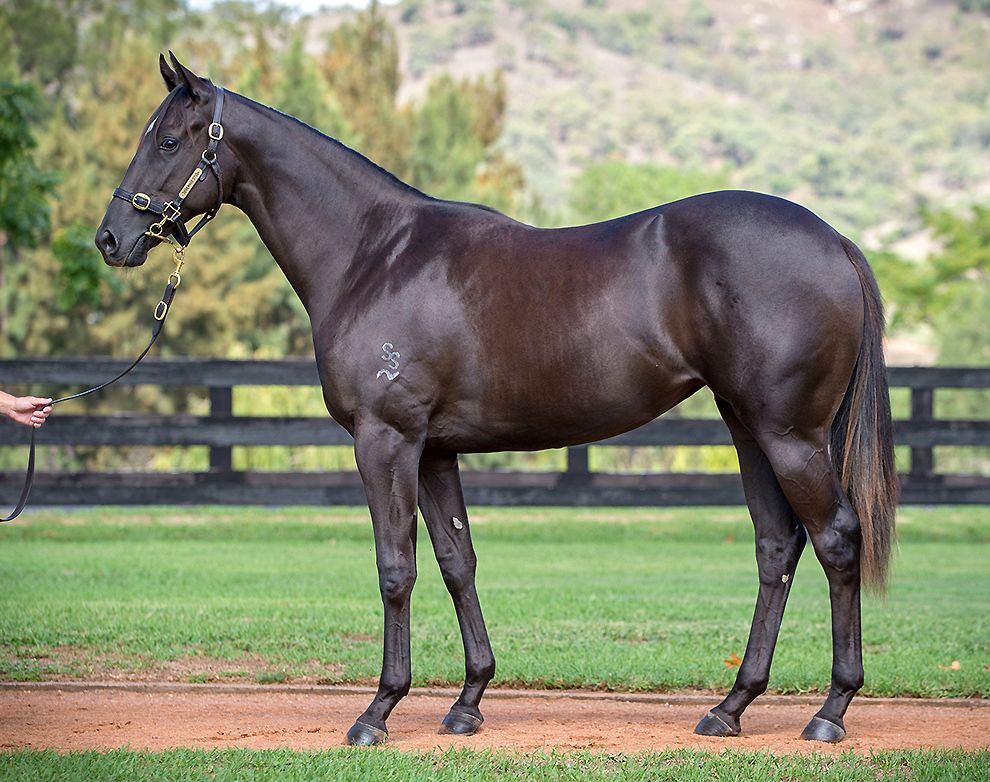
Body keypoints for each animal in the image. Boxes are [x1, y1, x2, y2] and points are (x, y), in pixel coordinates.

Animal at [95, 53, 898, 746]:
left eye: (168, 139)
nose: (110, 238)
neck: (373, 254)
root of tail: (834, 241)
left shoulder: (385, 440)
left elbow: (395, 568)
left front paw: (378, 711)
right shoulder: (434, 450)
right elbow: (458, 561)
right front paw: (468, 701)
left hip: (789, 433)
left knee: (835, 539)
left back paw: (830, 710)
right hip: (747, 426)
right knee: (776, 545)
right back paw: (731, 707)